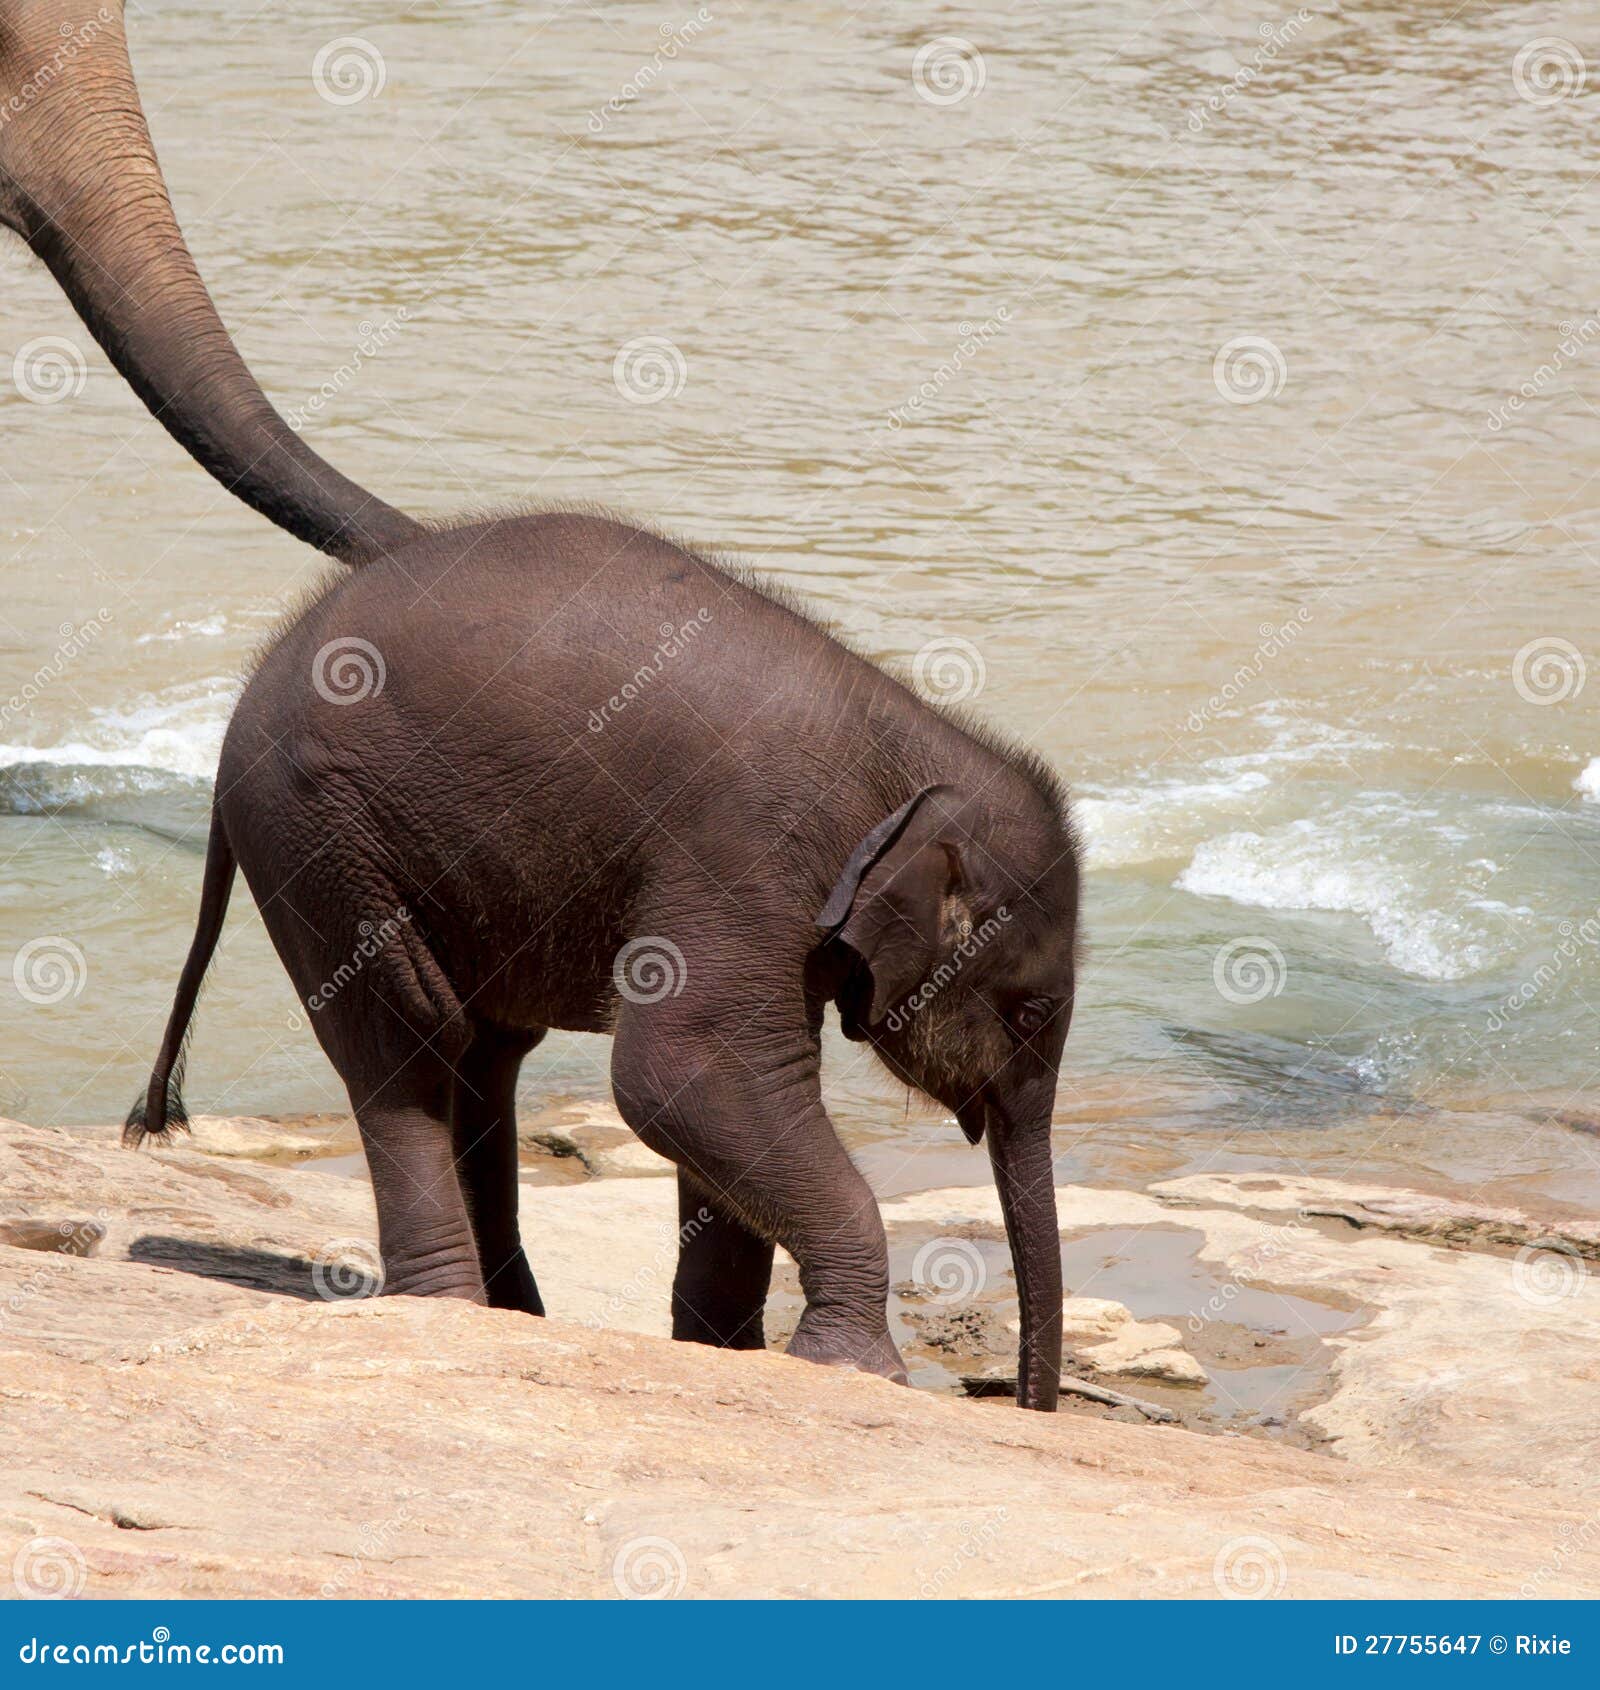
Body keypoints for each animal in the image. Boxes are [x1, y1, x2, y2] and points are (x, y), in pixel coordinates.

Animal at [3, 3, 1080, 1410]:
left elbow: (719, 1099)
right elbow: (685, 1076)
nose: (1024, 1398)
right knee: (408, 1046)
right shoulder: (739, 849)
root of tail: (258, 668)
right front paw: (854, 1367)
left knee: (481, 1053)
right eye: (1027, 1009)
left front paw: (721, 1349)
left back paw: (516, 1313)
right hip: (317, 831)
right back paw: (453, 1310)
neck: (911, 744)